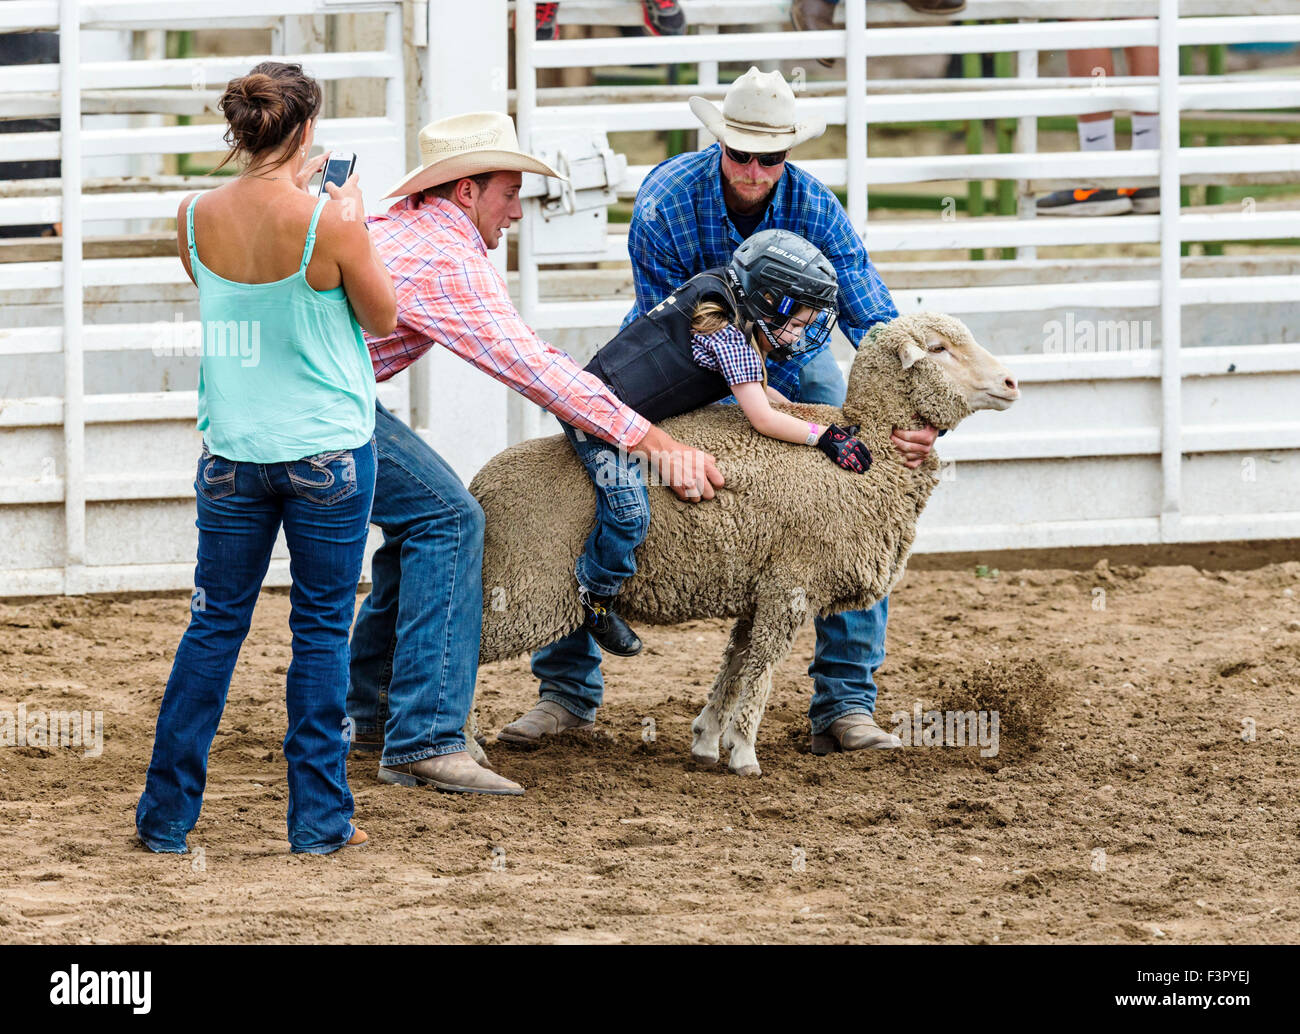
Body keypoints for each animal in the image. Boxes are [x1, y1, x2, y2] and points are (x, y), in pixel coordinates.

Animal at [467, 313, 1020, 775]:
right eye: (938, 348)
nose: (1011, 383)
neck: (873, 451)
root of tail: (481, 485)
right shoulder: (790, 585)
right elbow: (762, 669)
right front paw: (744, 753)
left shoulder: (761, 588)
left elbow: (736, 663)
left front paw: (707, 739)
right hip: (527, 590)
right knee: (469, 639)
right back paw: (466, 747)